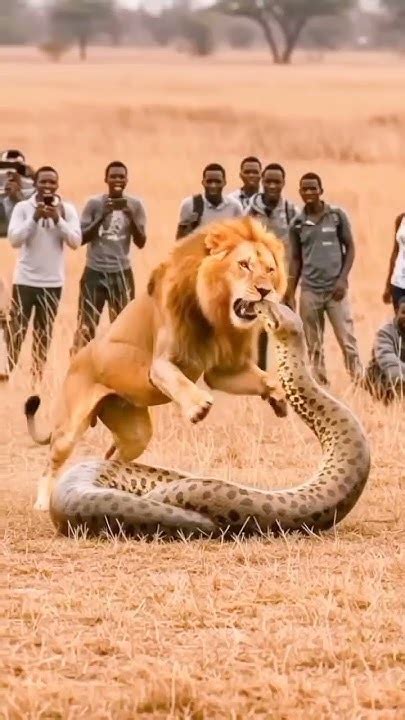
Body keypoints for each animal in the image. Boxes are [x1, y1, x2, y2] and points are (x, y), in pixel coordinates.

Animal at [25, 216, 288, 511]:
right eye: (244, 265)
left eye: (270, 270)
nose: (265, 290)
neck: (215, 315)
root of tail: (77, 359)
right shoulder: (160, 365)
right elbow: (178, 380)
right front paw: (198, 407)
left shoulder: (224, 371)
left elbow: (265, 377)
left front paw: (279, 397)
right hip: (69, 429)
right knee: (50, 464)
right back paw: (42, 503)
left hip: (136, 434)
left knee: (113, 456)